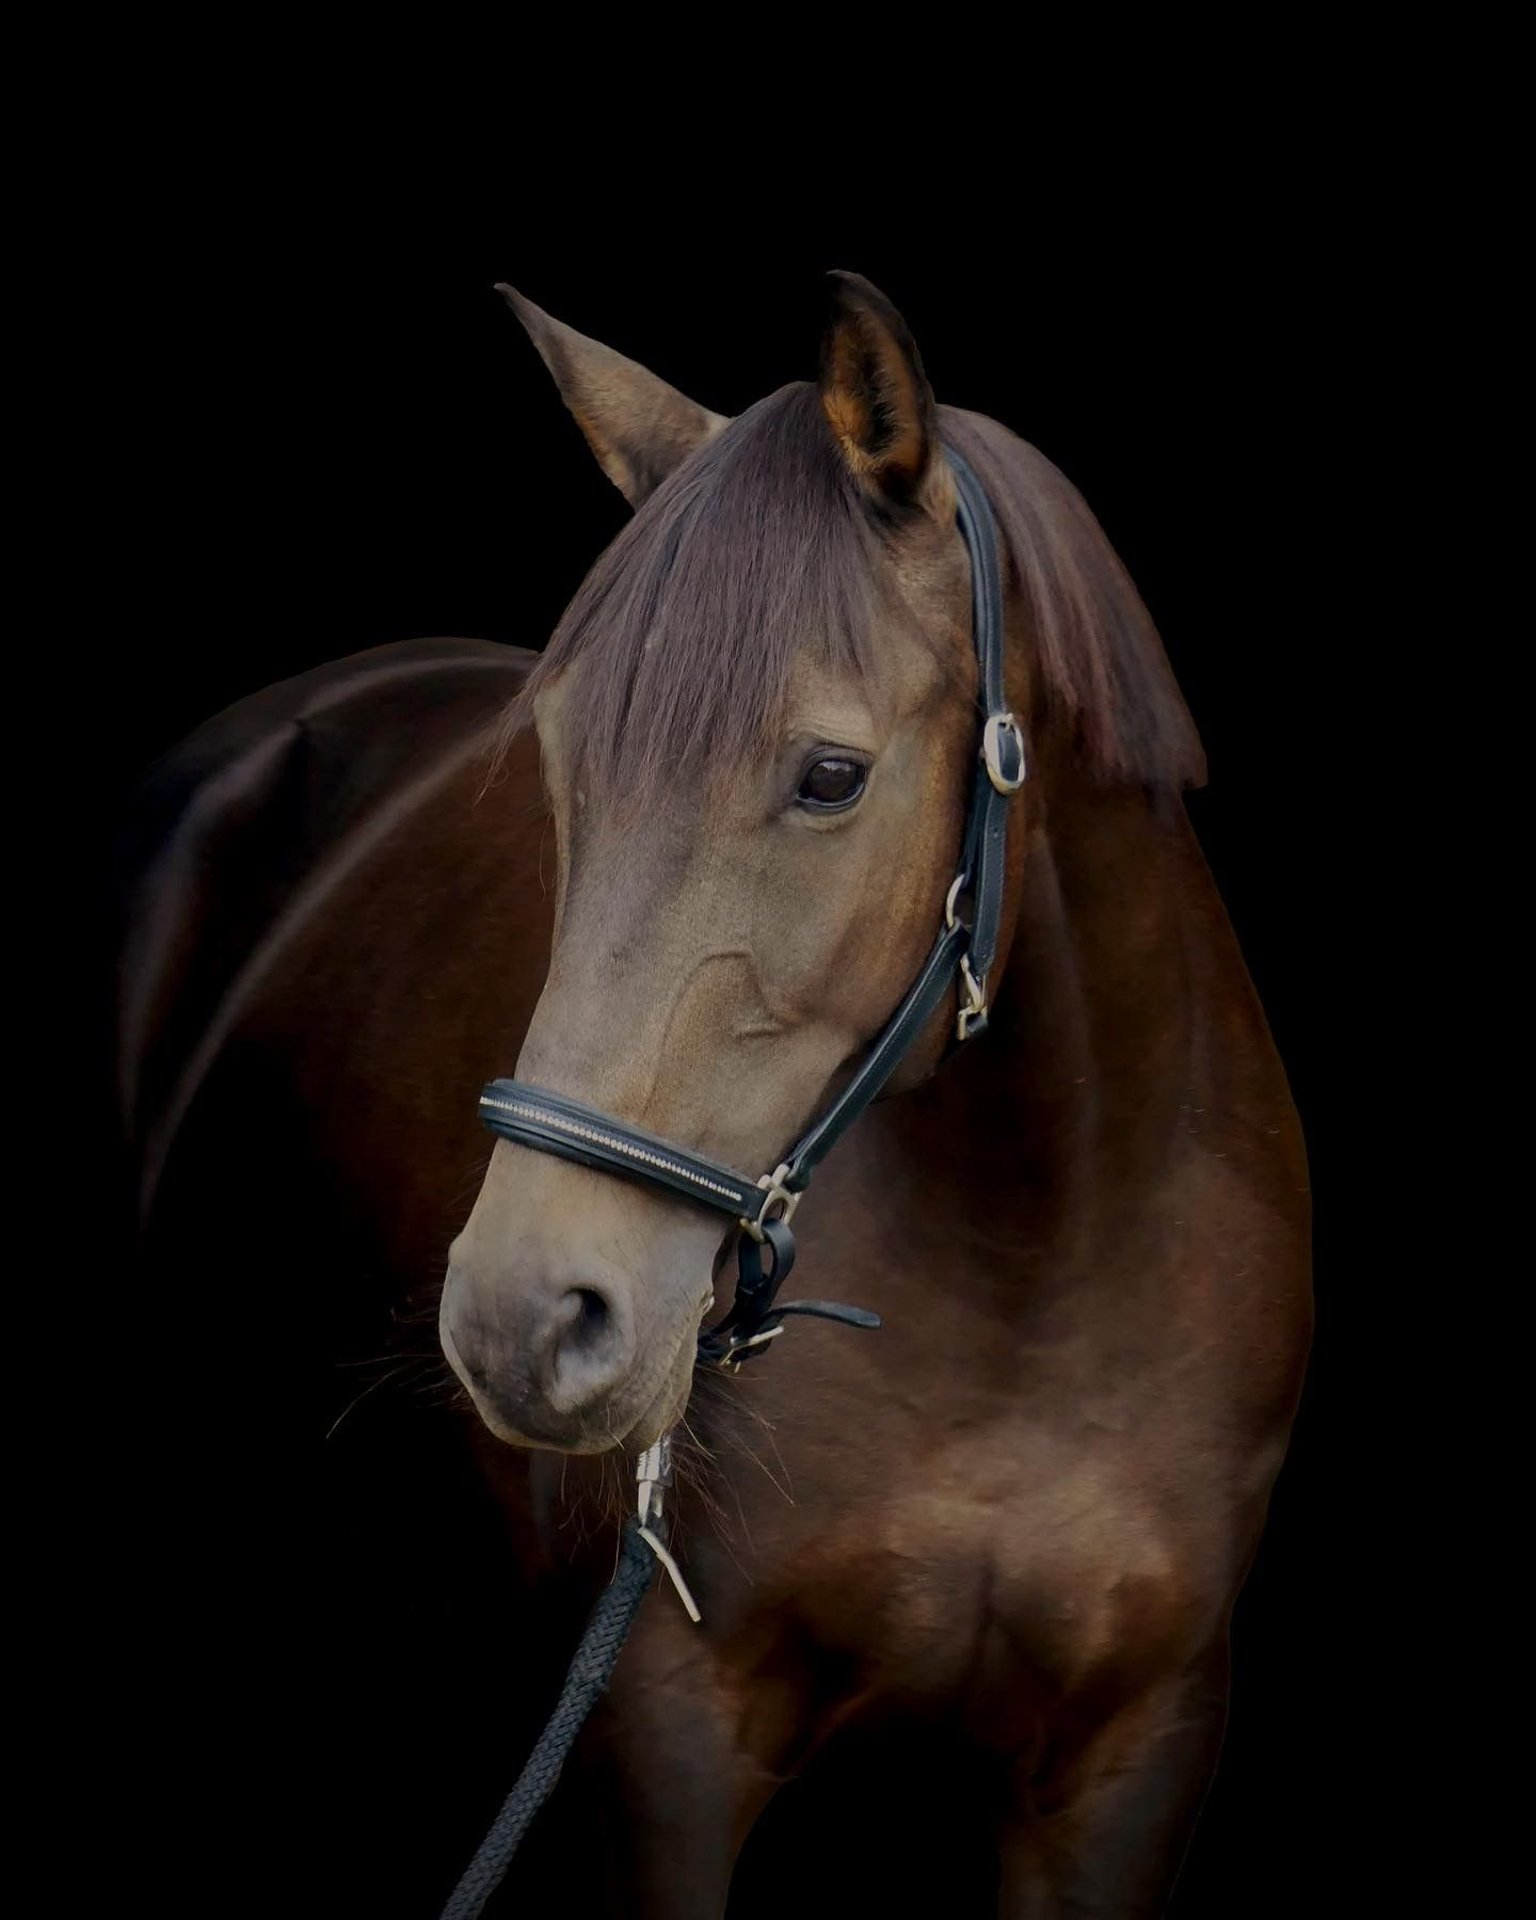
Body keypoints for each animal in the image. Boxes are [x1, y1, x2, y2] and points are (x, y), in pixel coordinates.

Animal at [115, 271, 1311, 1916]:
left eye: (829, 776)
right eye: (559, 763)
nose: (522, 1318)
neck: (1038, 1263)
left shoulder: (1135, 1762)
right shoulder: (666, 1740)